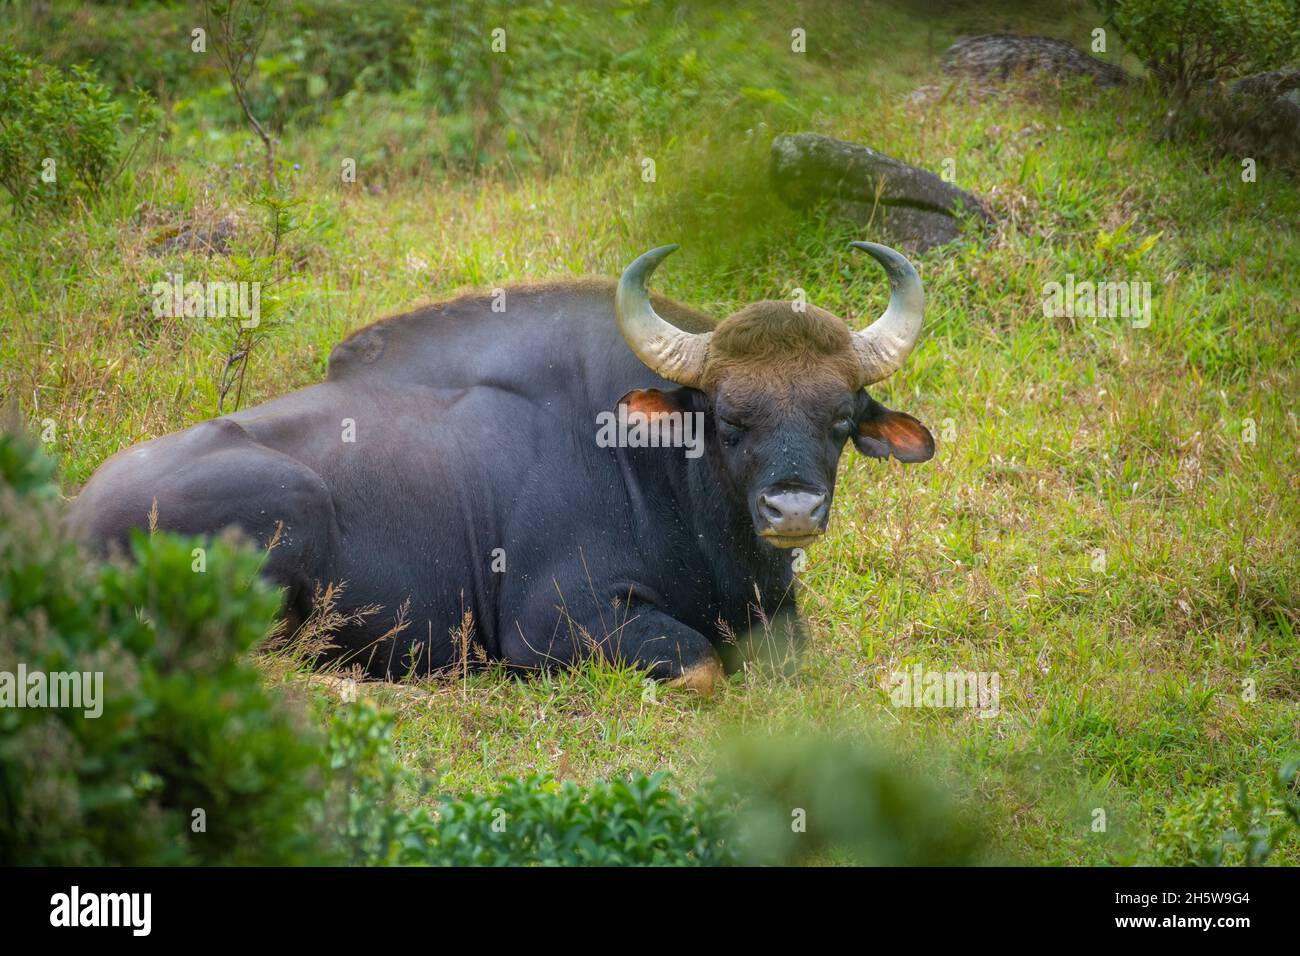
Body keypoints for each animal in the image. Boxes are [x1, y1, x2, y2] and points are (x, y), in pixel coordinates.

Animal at [68, 242, 935, 693]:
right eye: (730, 420)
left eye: (840, 419)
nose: (793, 511)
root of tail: (73, 521)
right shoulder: (556, 623)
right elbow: (700, 666)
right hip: (292, 500)